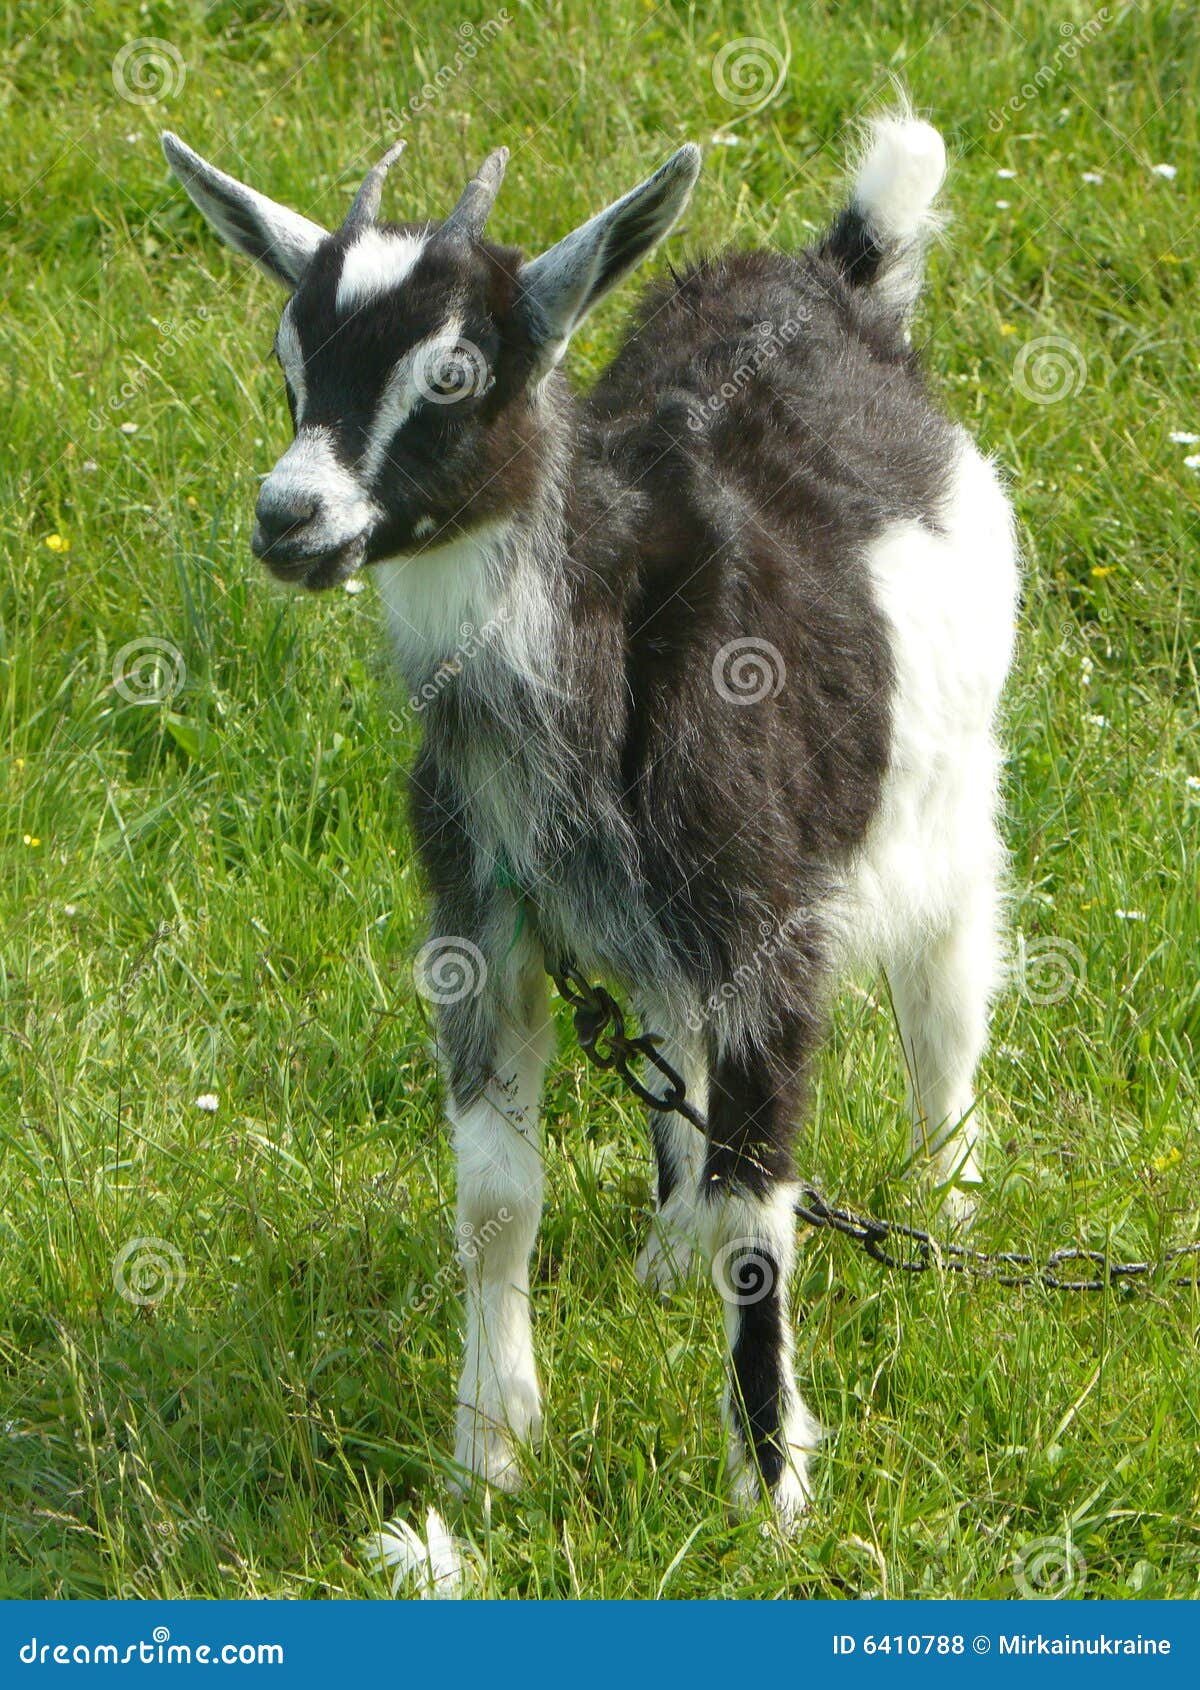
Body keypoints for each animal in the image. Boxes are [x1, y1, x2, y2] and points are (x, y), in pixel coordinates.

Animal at [163, 113, 1017, 1526]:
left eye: (454, 374)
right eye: (288, 358)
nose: (290, 519)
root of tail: (839, 280)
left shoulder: (772, 930)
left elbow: (761, 1211)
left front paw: (769, 1487)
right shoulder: (485, 923)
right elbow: (496, 1197)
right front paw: (489, 1453)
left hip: (943, 785)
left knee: (947, 980)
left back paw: (947, 1203)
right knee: (672, 1036)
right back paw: (668, 1251)